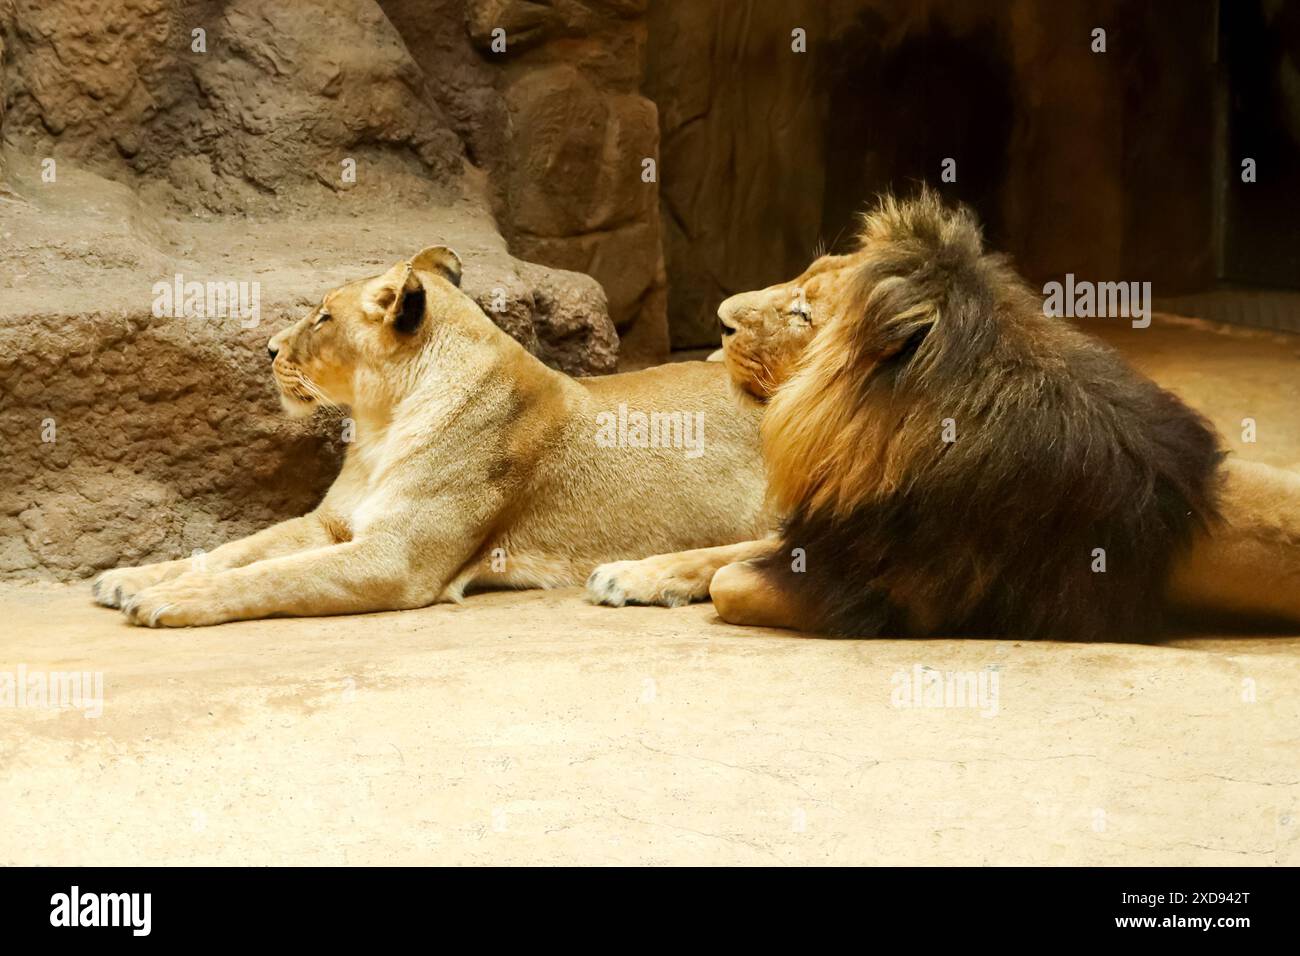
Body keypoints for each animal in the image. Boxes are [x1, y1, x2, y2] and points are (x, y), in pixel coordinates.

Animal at [92, 245, 771, 627]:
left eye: (323, 317)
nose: (269, 350)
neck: (380, 424)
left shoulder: (398, 559)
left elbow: (271, 575)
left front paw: (174, 599)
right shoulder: (331, 524)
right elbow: (239, 549)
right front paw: (132, 577)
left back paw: (632, 578)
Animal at [587, 192, 1300, 638]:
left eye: (803, 313)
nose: (721, 320)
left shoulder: (893, 588)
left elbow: (732, 579)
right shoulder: (840, 526)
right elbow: (724, 551)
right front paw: (630, 573)